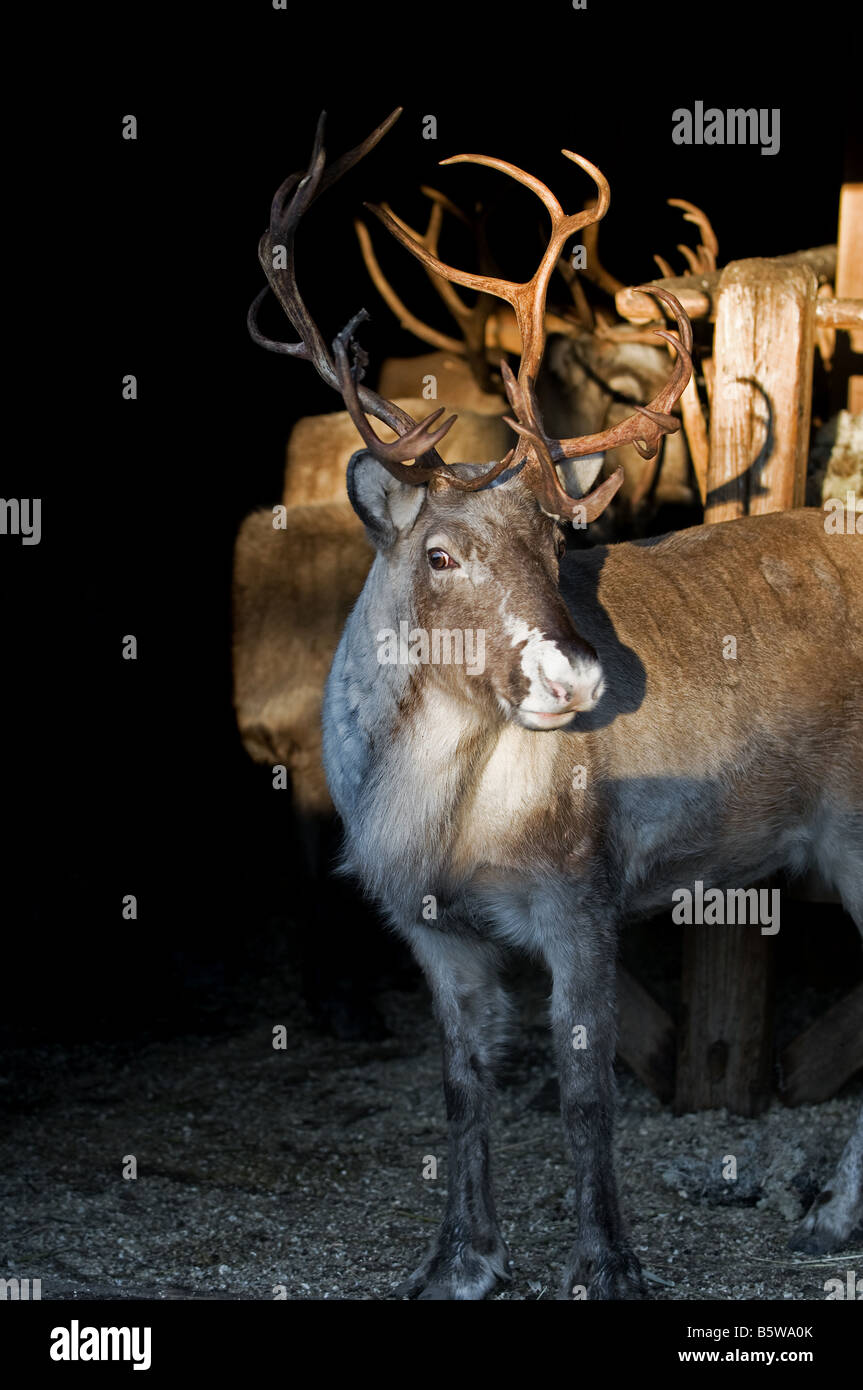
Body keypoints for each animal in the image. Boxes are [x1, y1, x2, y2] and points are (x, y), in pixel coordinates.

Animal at [252, 113, 863, 1299]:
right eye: (439, 553)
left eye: (554, 543)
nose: (574, 680)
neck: (433, 812)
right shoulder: (429, 926)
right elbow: (462, 1089)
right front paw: (459, 1261)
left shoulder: (583, 894)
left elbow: (587, 1097)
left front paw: (609, 1263)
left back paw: (825, 1216)